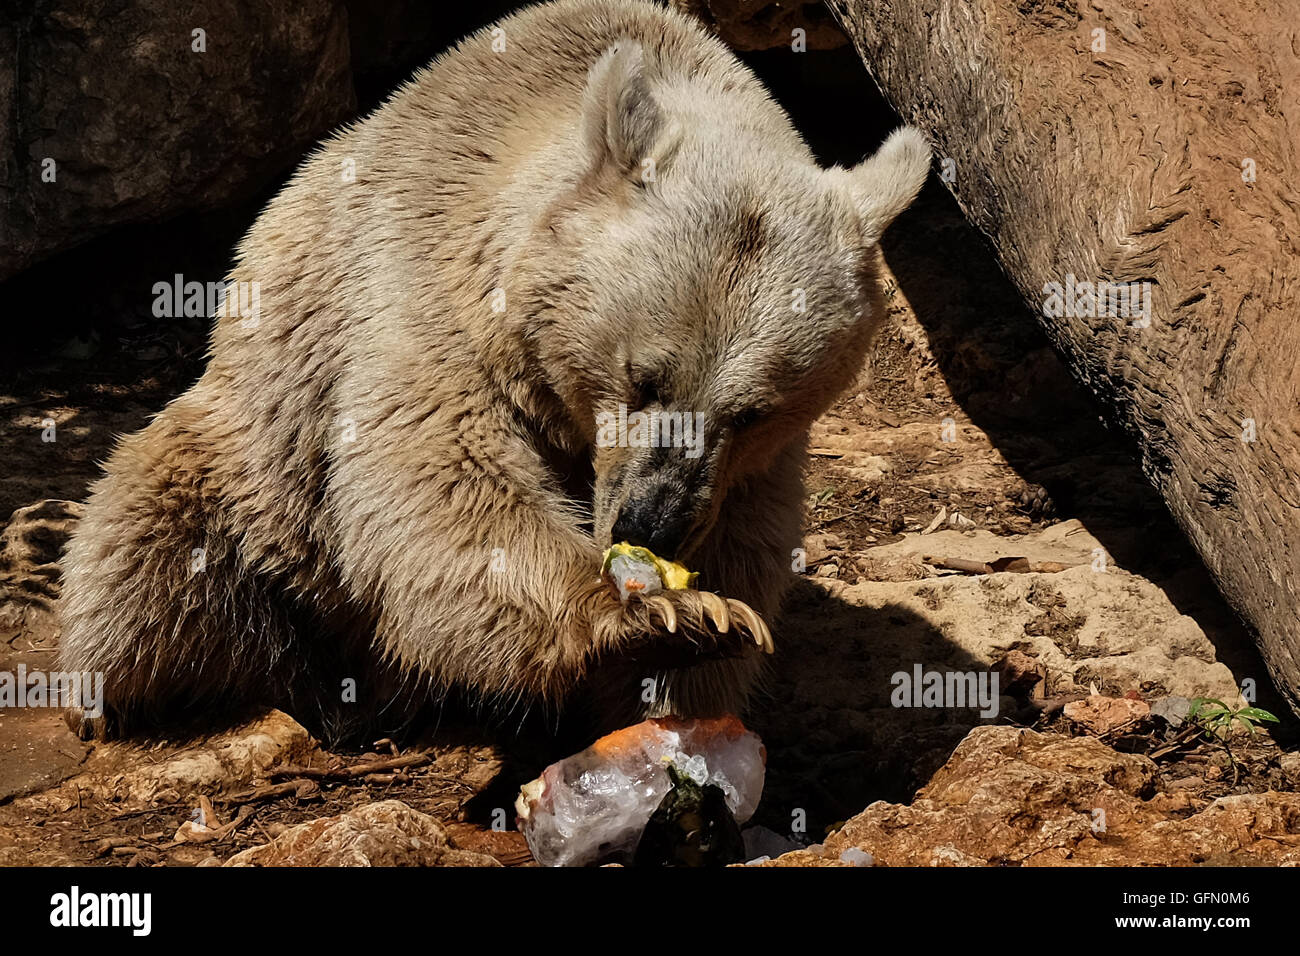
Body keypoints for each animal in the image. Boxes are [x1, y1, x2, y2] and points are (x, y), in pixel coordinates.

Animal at [58, 0, 930, 742]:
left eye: (753, 411)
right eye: (643, 377)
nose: (648, 526)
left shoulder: (754, 469)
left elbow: (747, 540)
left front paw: (696, 650)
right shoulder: (432, 292)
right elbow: (438, 477)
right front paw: (651, 616)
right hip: (253, 460)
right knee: (156, 549)